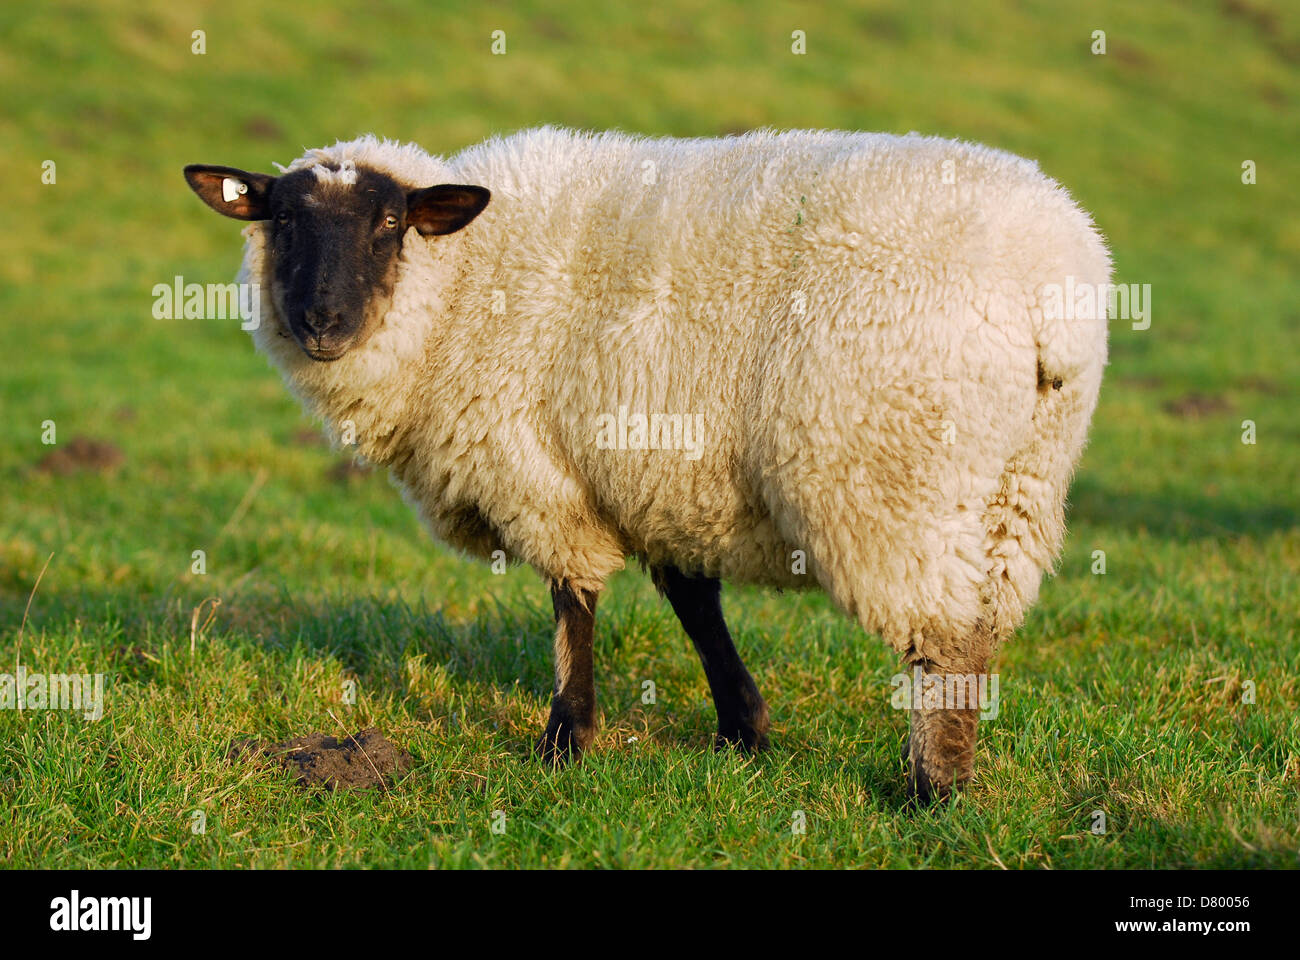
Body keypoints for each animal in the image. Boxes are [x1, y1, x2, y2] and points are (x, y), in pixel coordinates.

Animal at [183, 127, 1109, 803]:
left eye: (387, 225)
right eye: (281, 221)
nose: (321, 323)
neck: (459, 286)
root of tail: (1052, 279)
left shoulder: (542, 474)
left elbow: (573, 604)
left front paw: (565, 742)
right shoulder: (664, 481)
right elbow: (694, 602)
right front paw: (743, 730)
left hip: (895, 480)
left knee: (945, 641)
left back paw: (932, 793)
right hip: (1021, 482)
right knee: (983, 628)